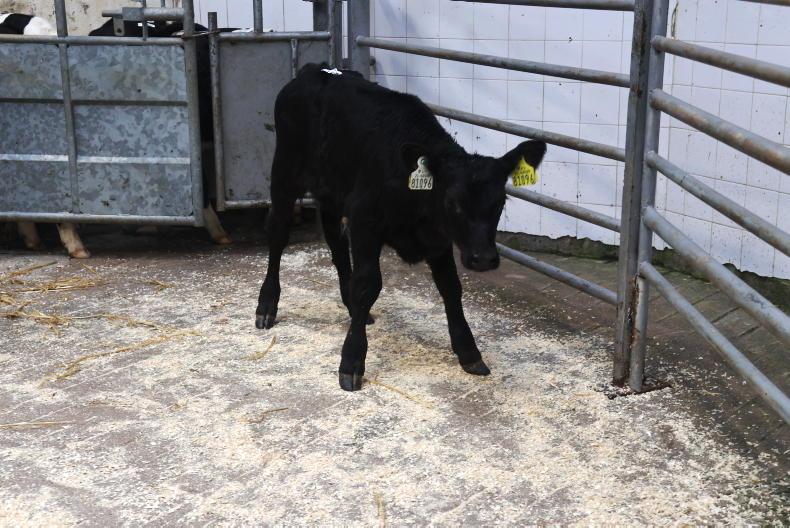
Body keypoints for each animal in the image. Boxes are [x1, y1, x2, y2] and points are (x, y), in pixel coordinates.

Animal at [255, 64, 547, 391]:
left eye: (500, 202)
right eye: (452, 202)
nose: (483, 259)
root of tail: (318, 70)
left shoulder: (438, 239)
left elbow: (451, 288)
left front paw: (468, 351)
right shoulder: (365, 221)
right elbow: (367, 285)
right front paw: (351, 361)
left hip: (331, 191)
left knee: (336, 243)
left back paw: (352, 309)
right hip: (284, 172)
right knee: (277, 233)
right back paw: (266, 305)